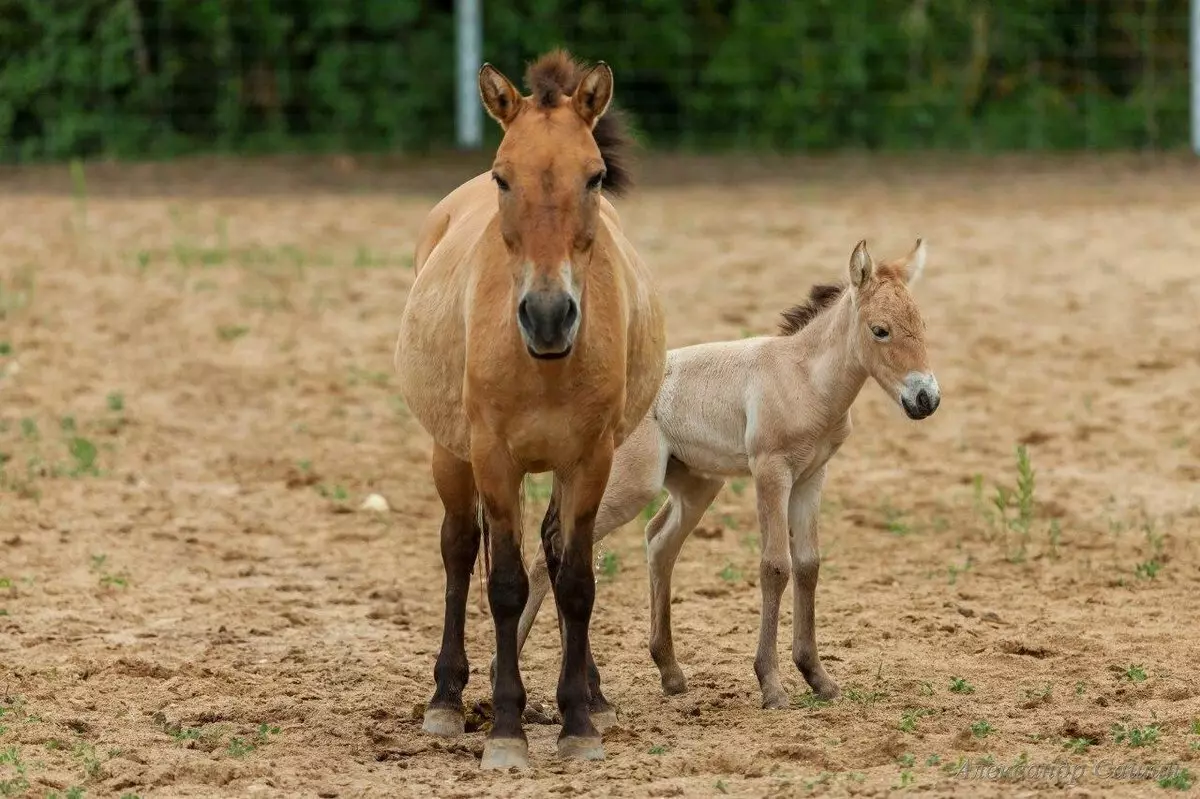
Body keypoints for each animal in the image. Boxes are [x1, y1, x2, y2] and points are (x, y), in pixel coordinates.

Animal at [393, 48, 667, 767]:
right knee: (460, 549)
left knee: (552, 550)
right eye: (503, 177)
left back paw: (591, 693)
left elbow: (575, 581)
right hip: (451, 454)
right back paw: (447, 698)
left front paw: (578, 723)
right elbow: (505, 585)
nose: (548, 316)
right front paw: (507, 730)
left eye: (595, 177)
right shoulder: (493, 457)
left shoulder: (590, 458)